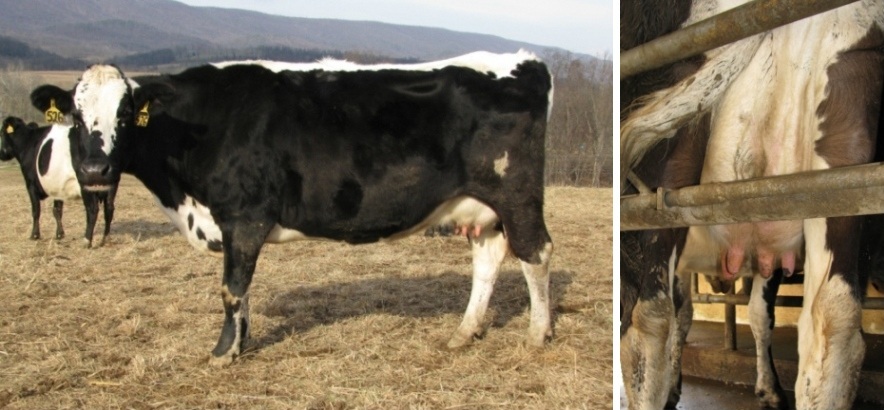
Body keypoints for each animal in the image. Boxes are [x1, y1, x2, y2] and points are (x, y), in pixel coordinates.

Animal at [0, 116, 114, 247]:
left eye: (1, 132)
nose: (2, 154)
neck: (28, 143)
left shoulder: (31, 184)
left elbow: (36, 210)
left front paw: (34, 235)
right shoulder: (58, 186)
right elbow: (57, 210)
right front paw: (60, 234)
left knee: (92, 209)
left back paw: (87, 240)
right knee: (109, 209)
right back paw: (106, 238)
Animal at [29, 50, 555, 367]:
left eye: (124, 114)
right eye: (75, 116)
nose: (96, 169)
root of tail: (522, 62)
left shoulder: (243, 216)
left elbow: (231, 289)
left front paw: (222, 353)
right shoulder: (236, 226)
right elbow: (242, 289)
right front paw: (240, 342)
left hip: (516, 195)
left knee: (536, 253)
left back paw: (537, 335)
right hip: (482, 210)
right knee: (488, 261)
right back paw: (464, 333)